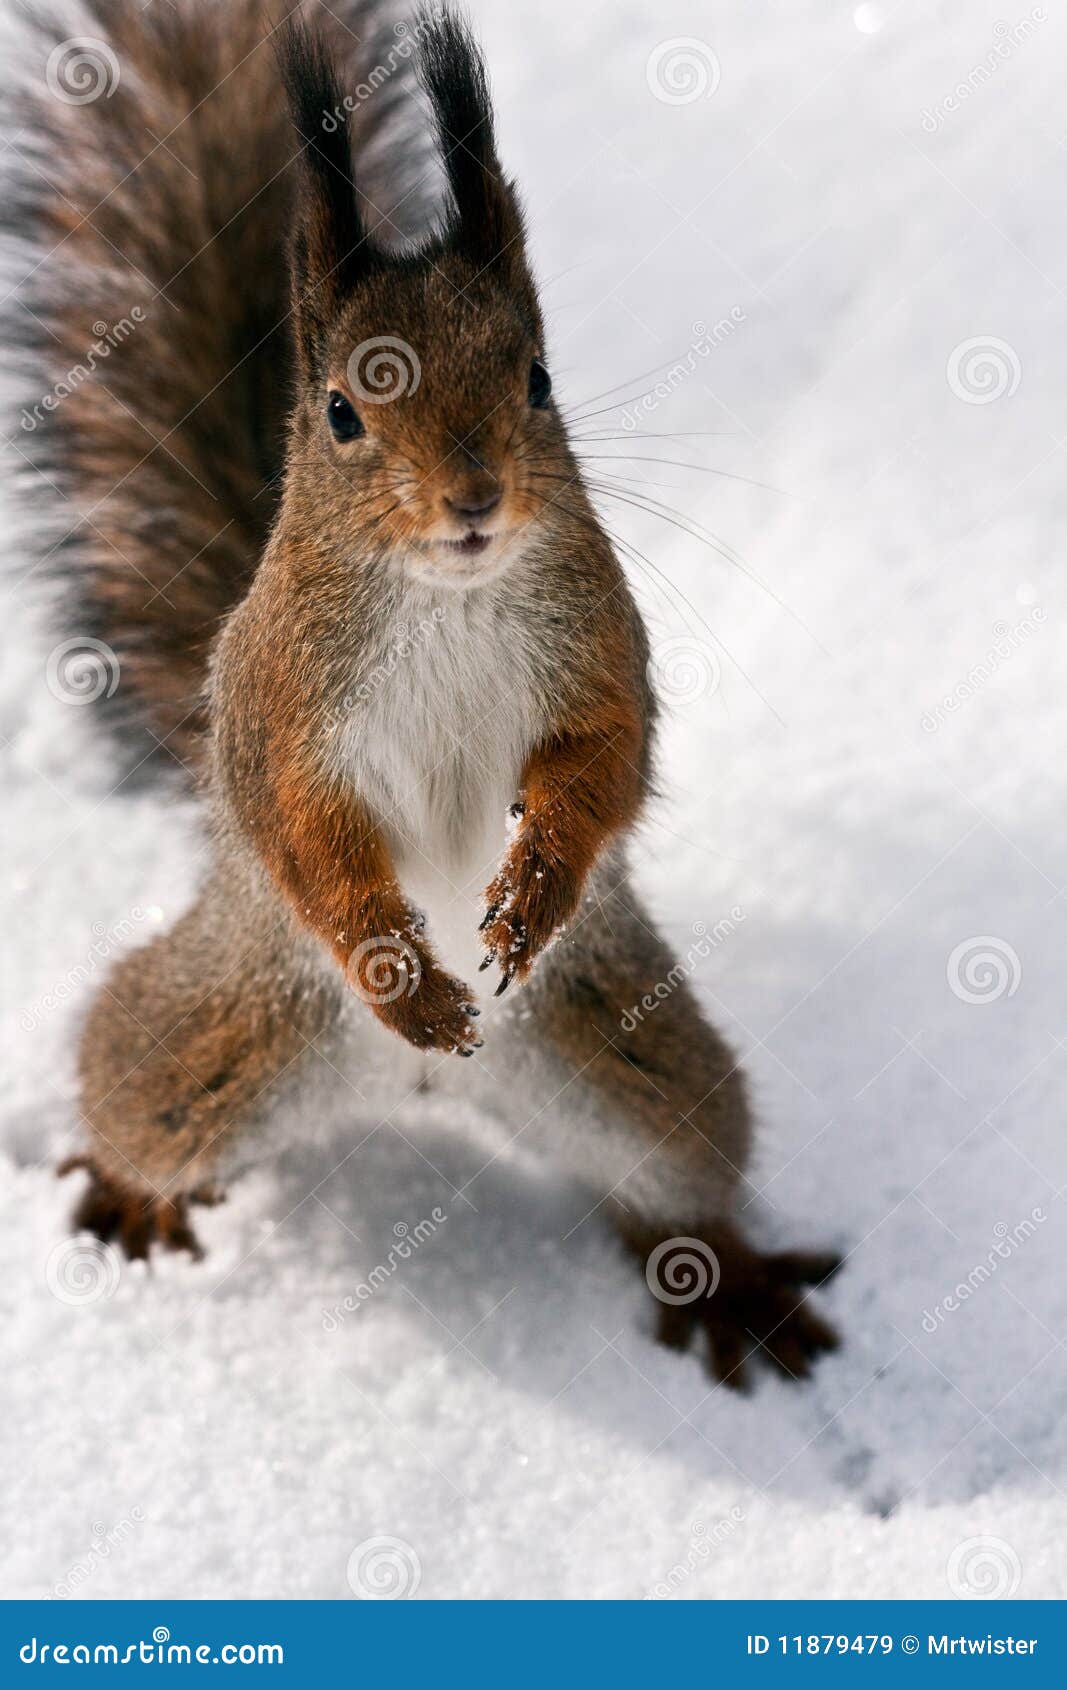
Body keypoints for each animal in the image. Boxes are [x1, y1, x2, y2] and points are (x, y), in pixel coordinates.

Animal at [12, 0, 841, 1388]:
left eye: (539, 378)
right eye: (343, 410)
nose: (472, 497)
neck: (445, 592)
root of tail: (429, 1091)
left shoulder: (597, 653)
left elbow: (599, 765)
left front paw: (531, 888)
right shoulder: (285, 709)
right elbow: (307, 835)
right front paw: (406, 971)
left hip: (644, 1070)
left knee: (675, 1176)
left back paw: (727, 1284)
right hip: (204, 1042)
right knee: (134, 1092)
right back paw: (132, 1200)